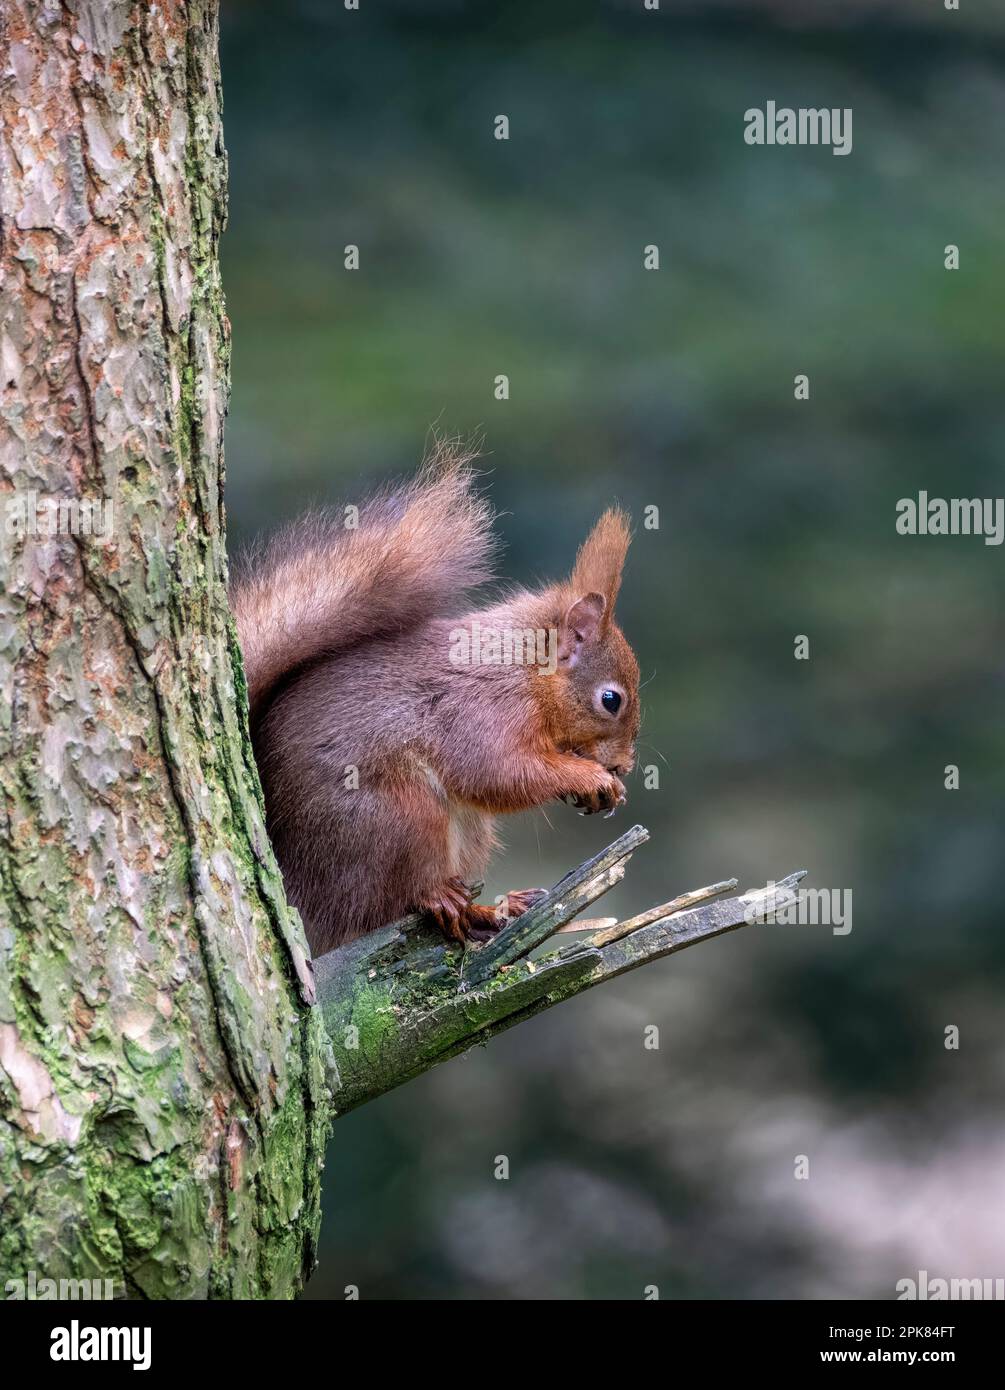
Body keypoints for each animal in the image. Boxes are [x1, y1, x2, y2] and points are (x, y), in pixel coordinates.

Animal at [231, 442, 640, 956]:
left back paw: (495, 909)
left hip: (467, 831)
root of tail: (302, 892)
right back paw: (444, 899)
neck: (526, 671)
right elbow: (499, 774)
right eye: (611, 699)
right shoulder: (481, 711)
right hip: (398, 816)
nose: (626, 765)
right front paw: (590, 777)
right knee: (388, 907)